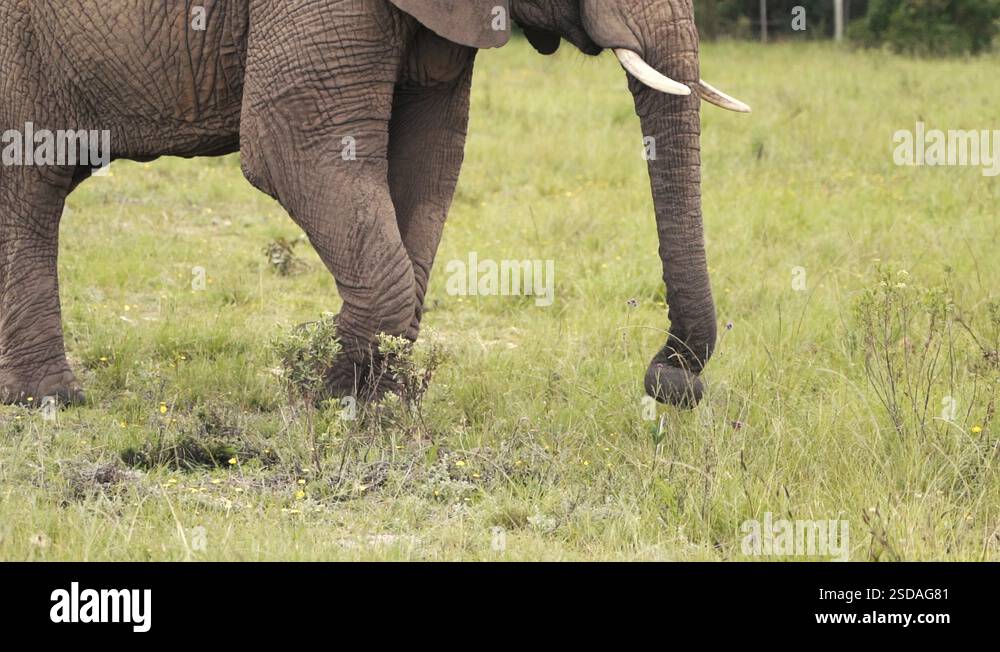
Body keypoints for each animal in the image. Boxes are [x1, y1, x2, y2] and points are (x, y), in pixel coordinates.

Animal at [0, 0, 748, 409]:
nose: (670, 381)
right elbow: (292, 146)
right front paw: (322, 390)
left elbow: (428, 152)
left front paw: (375, 394)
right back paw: (54, 401)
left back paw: (42, 399)